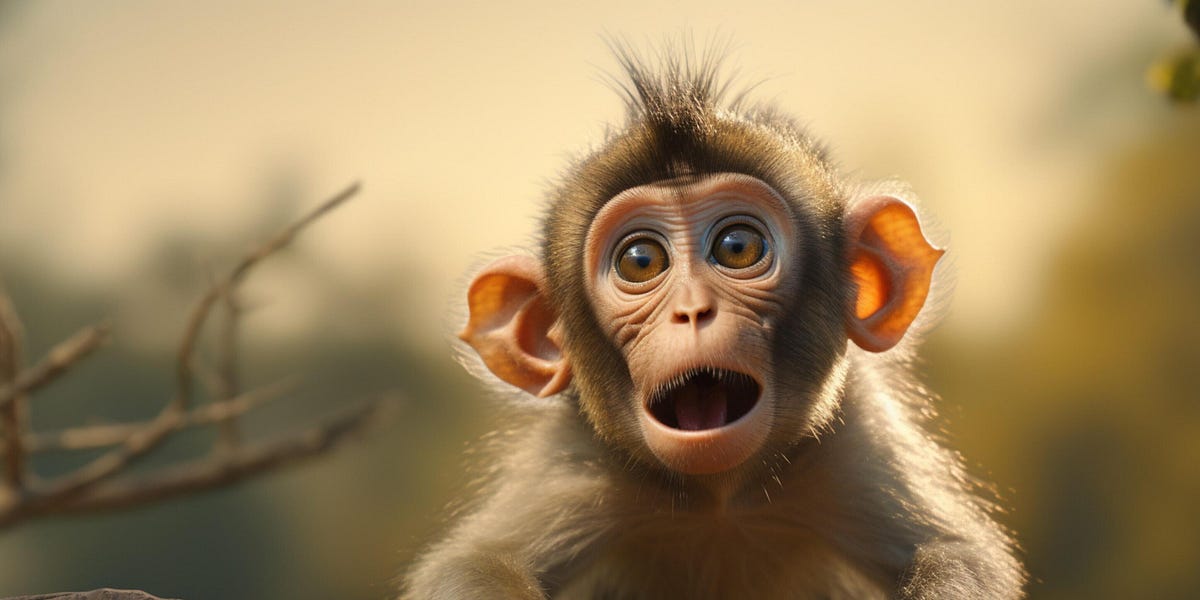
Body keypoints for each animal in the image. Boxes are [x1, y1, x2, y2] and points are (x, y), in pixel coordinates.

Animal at [401, 45, 1026, 599]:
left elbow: (953, 554)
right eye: (641, 261)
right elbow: (479, 565)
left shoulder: (855, 439)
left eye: (737, 247)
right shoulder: (576, 463)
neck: (719, 501)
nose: (693, 309)